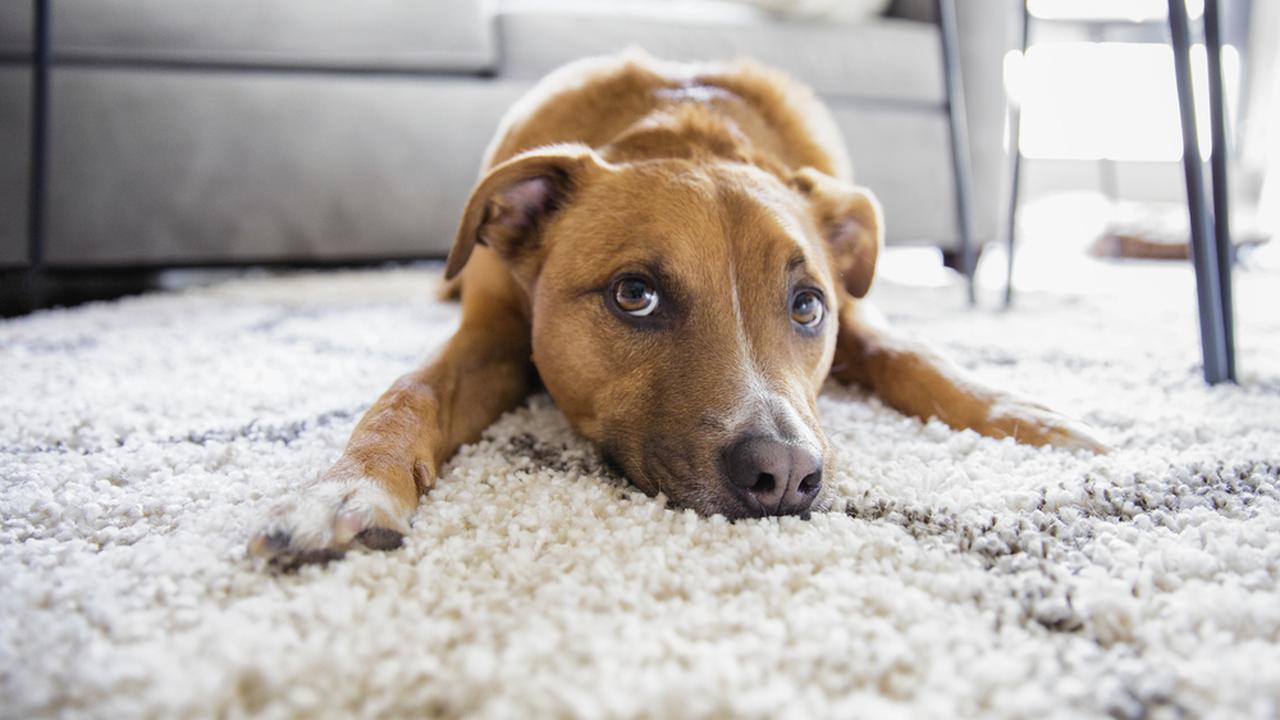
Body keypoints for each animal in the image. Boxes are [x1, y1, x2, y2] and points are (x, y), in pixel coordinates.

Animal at [247, 51, 1100, 566]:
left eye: (807, 306)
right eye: (635, 295)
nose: (786, 476)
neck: (687, 137)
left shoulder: (859, 318)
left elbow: (914, 354)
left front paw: (1025, 415)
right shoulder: (491, 332)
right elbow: (408, 393)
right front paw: (347, 488)